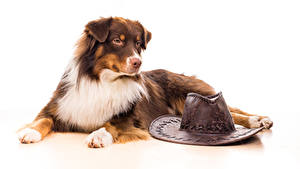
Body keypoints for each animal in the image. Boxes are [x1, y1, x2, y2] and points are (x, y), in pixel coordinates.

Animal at [17, 16, 274, 147]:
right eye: (118, 41)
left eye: (139, 43)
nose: (137, 62)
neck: (103, 80)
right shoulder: (57, 107)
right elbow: (42, 120)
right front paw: (30, 132)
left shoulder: (131, 118)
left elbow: (111, 124)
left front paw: (98, 135)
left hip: (188, 92)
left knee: (232, 109)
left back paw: (258, 120)